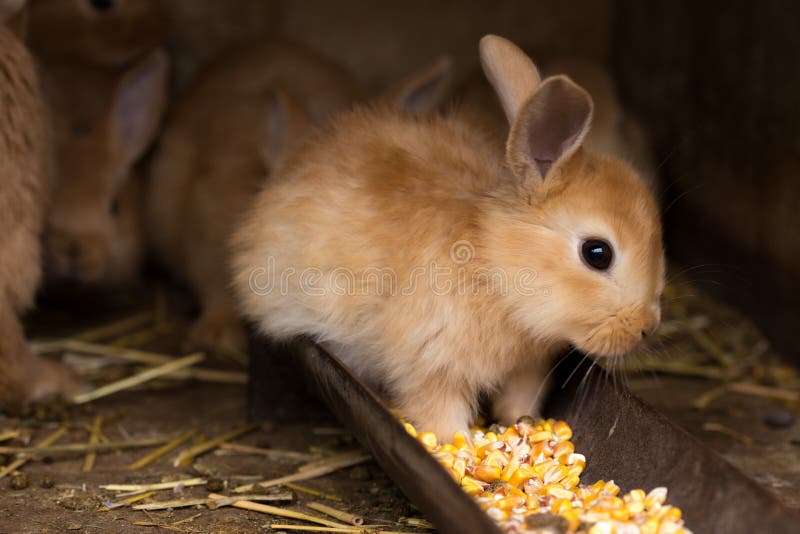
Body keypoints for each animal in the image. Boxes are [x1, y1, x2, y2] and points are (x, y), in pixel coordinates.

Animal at [230, 35, 664, 438]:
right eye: (597, 253)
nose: (646, 327)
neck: (493, 266)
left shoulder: (527, 366)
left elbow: (519, 397)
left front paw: (519, 423)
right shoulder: (430, 365)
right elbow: (440, 411)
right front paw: (462, 448)